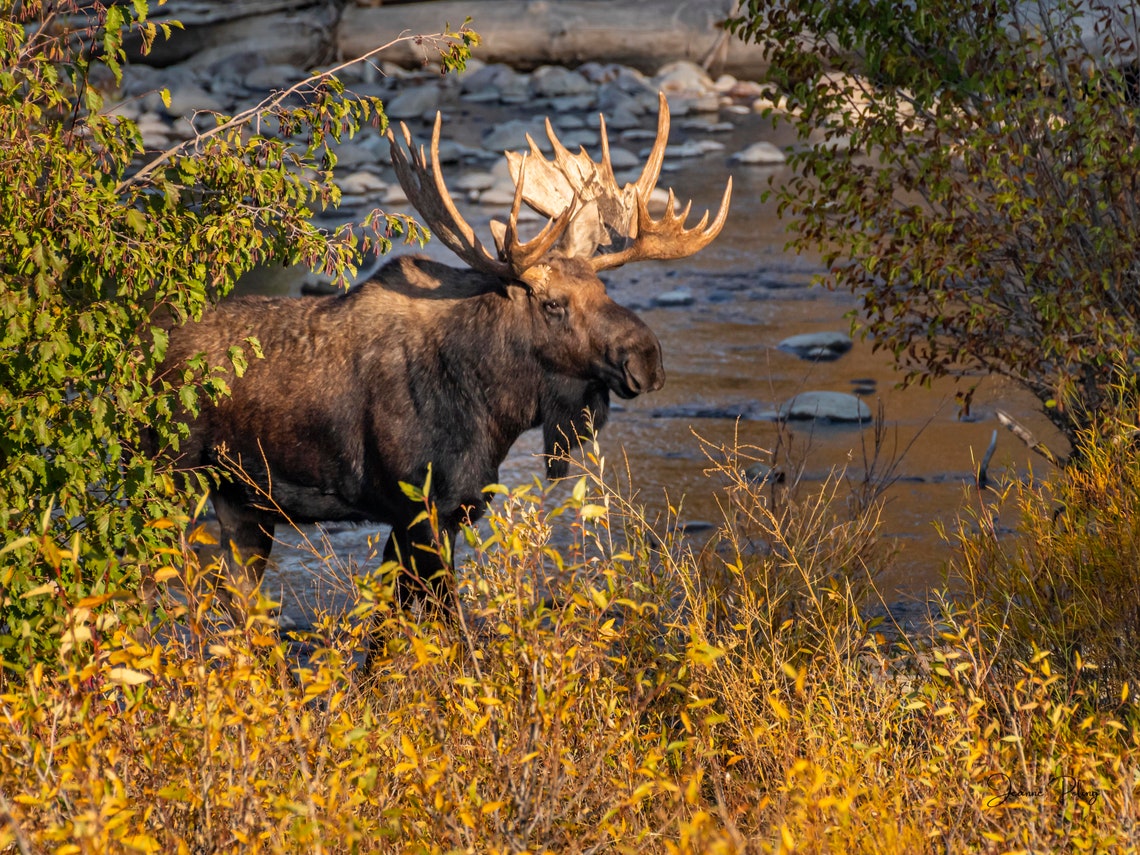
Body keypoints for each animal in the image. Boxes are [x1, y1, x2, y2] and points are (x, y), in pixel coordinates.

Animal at [159, 92, 731, 610]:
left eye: (603, 289)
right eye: (552, 304)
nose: (647, 358)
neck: (494, 409)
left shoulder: (442, 511)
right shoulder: (424, 509)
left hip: (243, 506)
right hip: (172, 480)